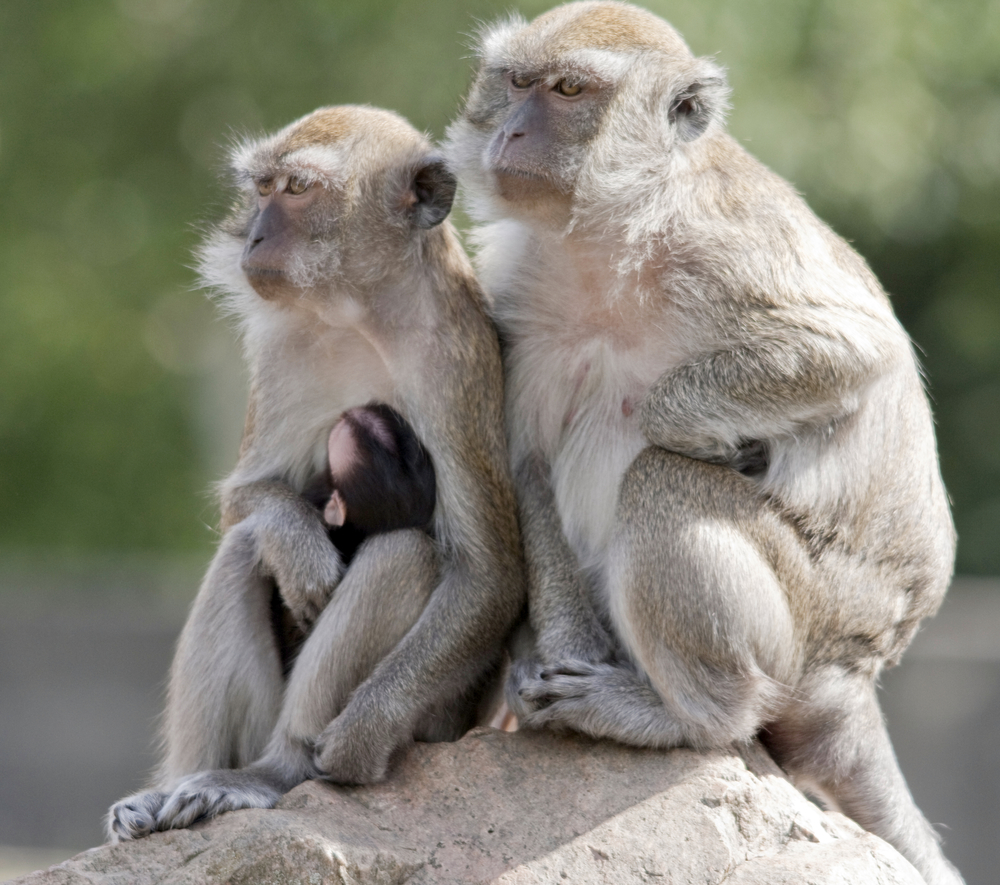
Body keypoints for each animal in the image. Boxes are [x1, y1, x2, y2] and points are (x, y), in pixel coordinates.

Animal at [107, 105, 524, 841]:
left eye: (298, 189)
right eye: (263, 187)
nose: (254, 233)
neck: (361, 313)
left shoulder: (457, 363)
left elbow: (488, 573)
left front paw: (357, 738)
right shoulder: (282, 348)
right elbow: (245, 501)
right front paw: (299, 543)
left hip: (440, 722)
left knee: (405, 554)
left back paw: (281, 768)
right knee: (243, 549)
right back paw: (183, 783)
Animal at [445, 3, 961, 884]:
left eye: (569, 90)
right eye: (514, 83)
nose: (510, 131)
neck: (610, 238)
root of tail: (860, 669)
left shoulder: (724, 246)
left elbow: (856, 350)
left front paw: (693, 428)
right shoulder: (518, 295)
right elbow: (527, 463)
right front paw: (554, 656)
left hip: (808, 622)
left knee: (662, 482)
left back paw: (692, 717)